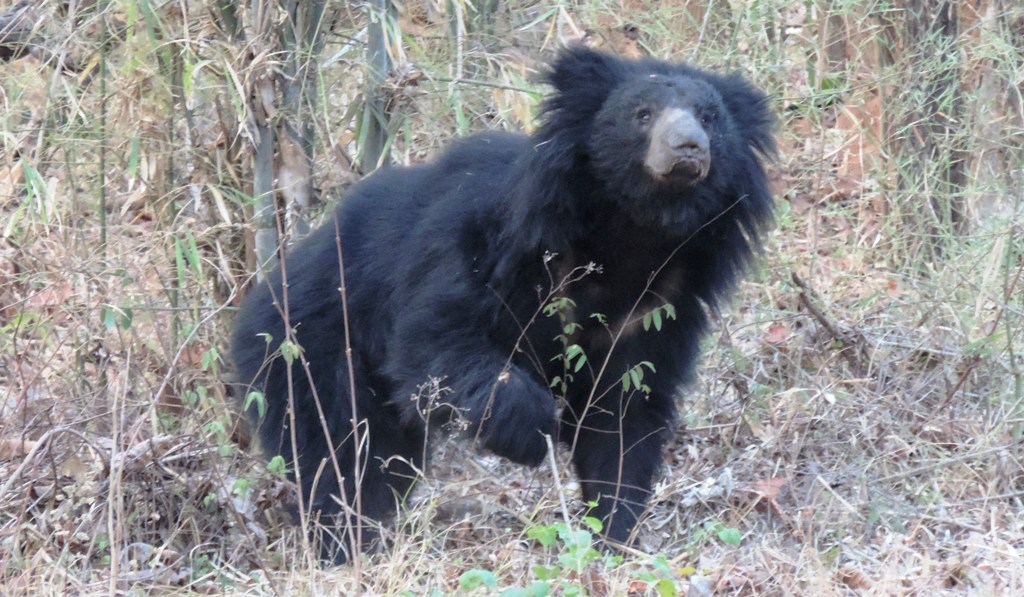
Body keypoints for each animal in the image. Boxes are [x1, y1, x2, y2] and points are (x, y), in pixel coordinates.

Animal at [230, 46, 774, 562]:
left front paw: (614, 533)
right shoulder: (492, 238)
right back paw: (343, 541)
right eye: (642, 114)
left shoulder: (660, 302)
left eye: (709, 117)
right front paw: (533, 431)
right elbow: (438, 339)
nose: (688, 147)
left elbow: (622, 412)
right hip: (311, 347)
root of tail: (264, 295)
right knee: (340, 449)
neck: (631, 230)